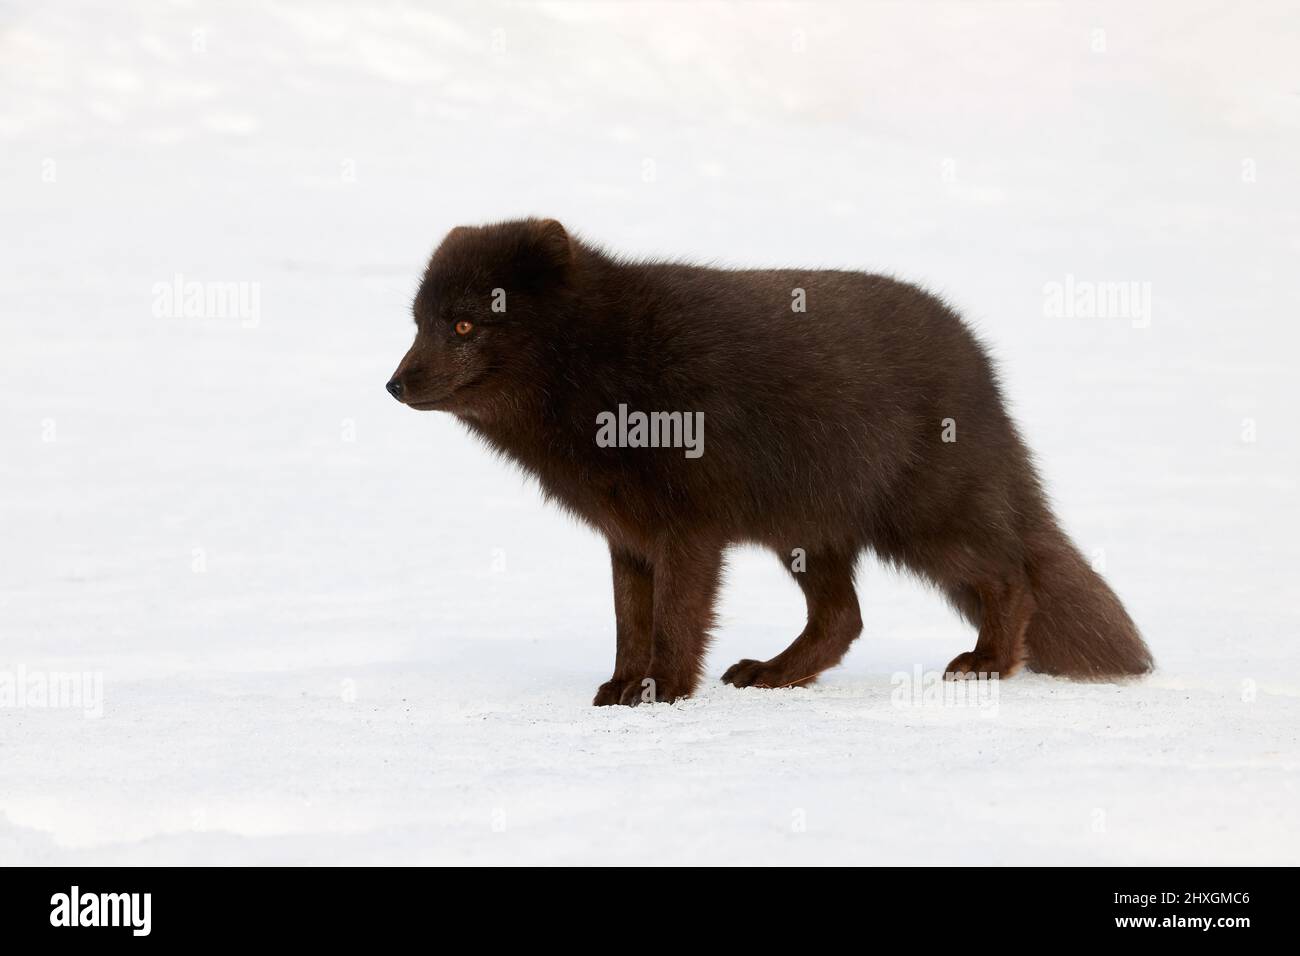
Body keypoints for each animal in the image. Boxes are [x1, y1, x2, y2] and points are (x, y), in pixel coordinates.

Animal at [387, 218, 1153, 706]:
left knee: (1011, 574)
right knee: (843, 619)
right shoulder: (628, 538)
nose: (393, 385)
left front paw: (662, 692)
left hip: (922, 522)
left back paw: (989, 664)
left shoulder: (688, 534)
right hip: (810, 533)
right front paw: (622, 687)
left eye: (465, 323)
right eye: (419, 322)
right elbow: (630, 624)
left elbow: (673, 622)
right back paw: (775, 675)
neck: (602, 361)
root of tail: (982, 366)